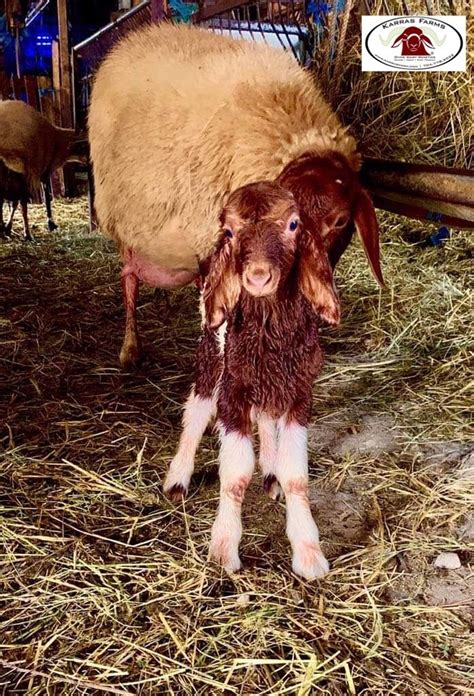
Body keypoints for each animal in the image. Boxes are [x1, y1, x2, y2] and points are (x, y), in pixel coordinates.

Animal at [165, 181, 340, 580]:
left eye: (293, 224)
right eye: (230, 231)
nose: (258, 277)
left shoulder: (299, 393)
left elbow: (296, 475)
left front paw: (308, 553)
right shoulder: (234, 391)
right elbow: (234, 475)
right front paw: (223, 548)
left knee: (263, 418)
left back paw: (271, 472)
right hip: (211, 356)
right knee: (195, 414)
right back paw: (178, 479)